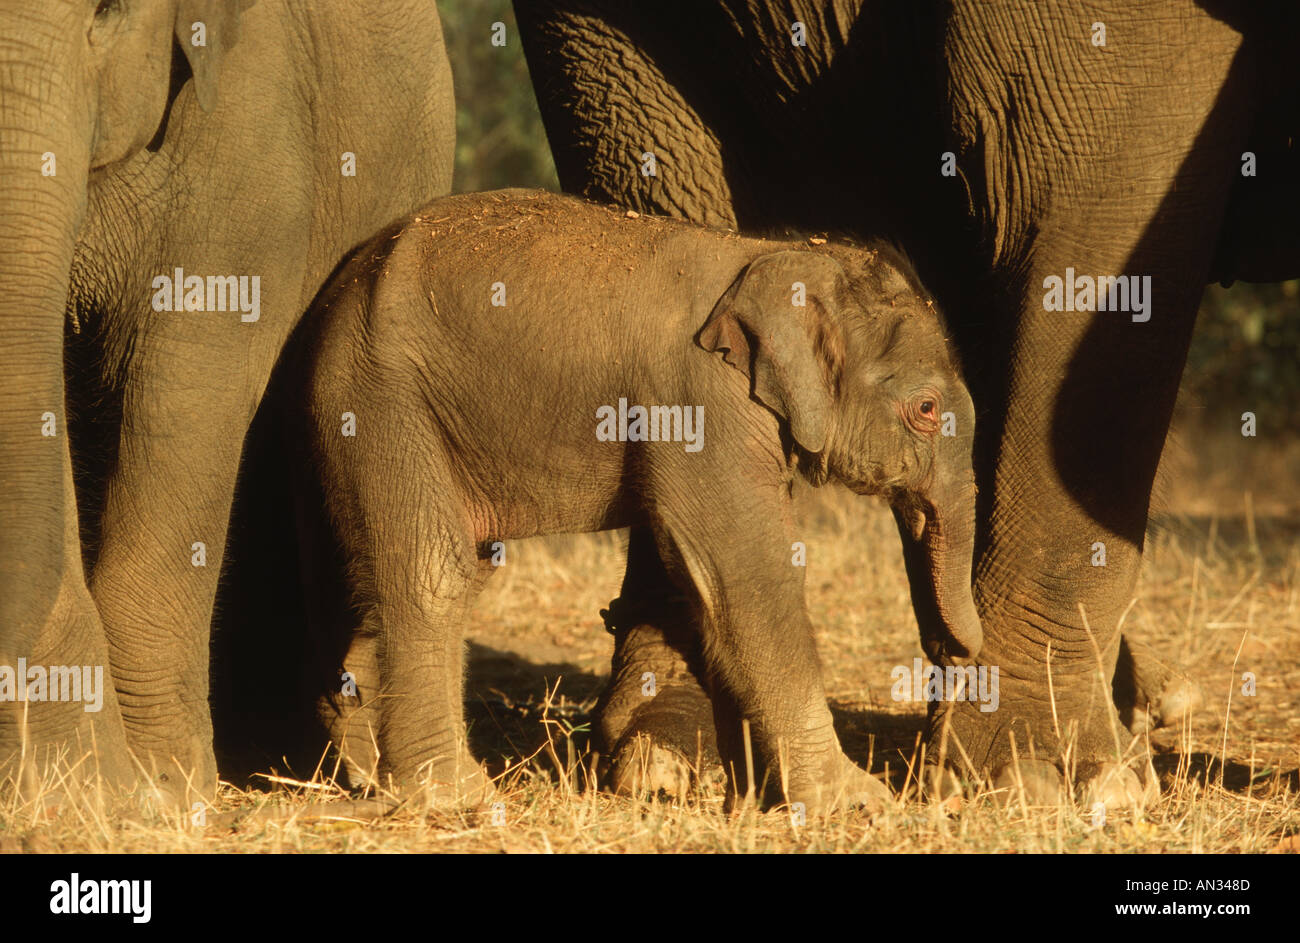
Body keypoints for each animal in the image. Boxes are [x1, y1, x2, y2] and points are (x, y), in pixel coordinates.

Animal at [0, 0, 454, 806]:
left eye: (106, 12)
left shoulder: (250, 131)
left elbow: (186, 392)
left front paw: (164, 784)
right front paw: (99, 786)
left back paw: (293, 759)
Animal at [268, 188, 979, 812]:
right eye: (925, 410)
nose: (954, 652)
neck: (778, 253)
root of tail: (338, 288)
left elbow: (710, 590)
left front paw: (744, 803)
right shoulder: (699, 401)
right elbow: (747, 577)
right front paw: (859, 804)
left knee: (381, 579)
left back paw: (365, 775)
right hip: (379, 397)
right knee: (432, 573)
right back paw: (453, 798)